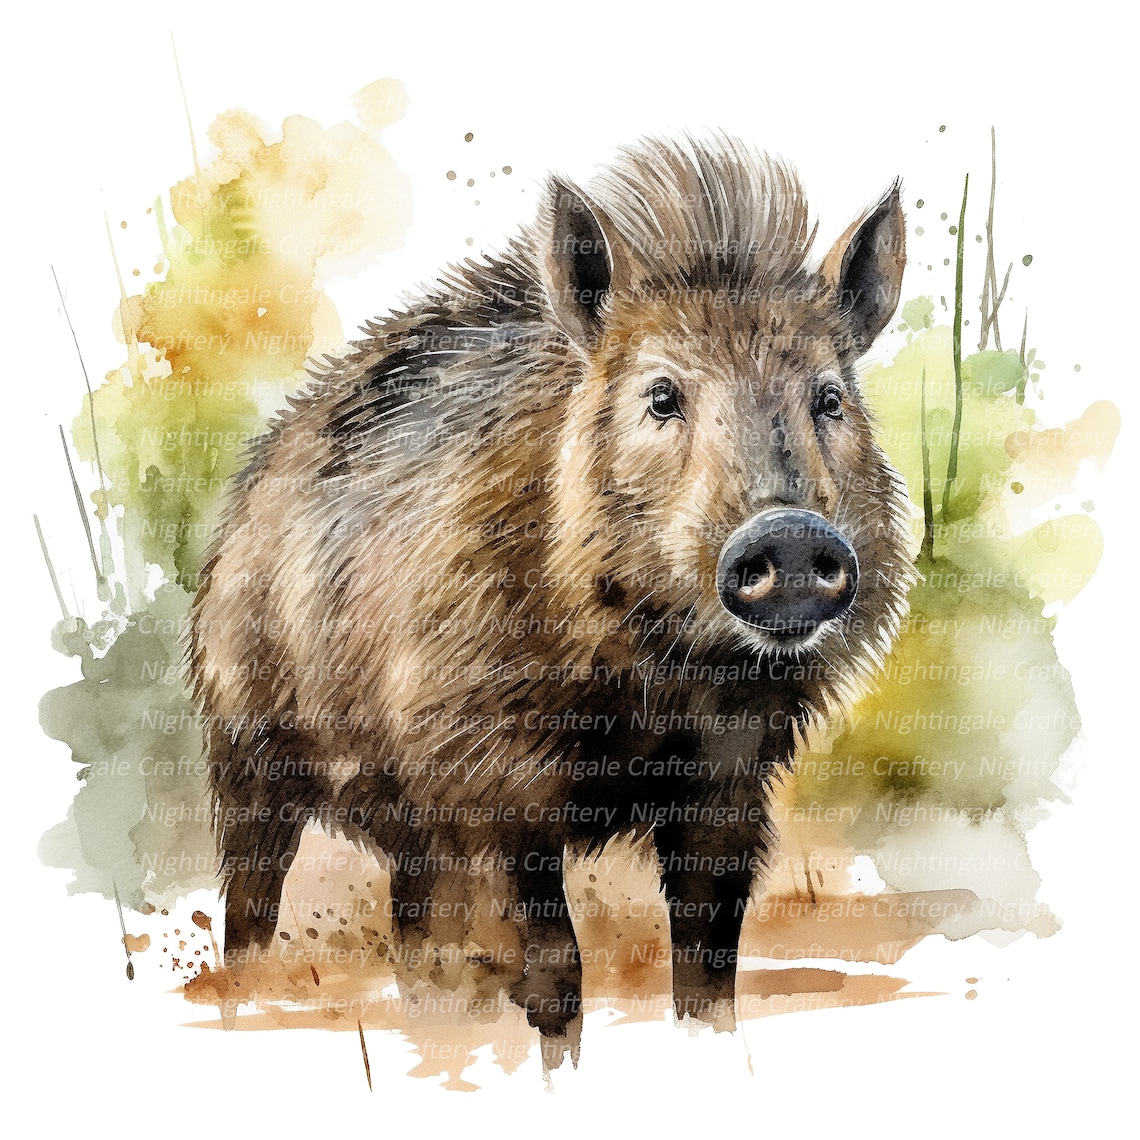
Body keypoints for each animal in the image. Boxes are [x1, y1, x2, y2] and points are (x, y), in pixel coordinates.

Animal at [189, 133, 912, 1052]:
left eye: (829, 398)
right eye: (662, 397)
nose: (789, 534)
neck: (652, 677)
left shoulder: (730, 782)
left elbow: (709, 966)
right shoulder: (492, 778)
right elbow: (553, 974)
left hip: (403, 824)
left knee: (412, 941)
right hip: (245, 753)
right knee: (250, 914)